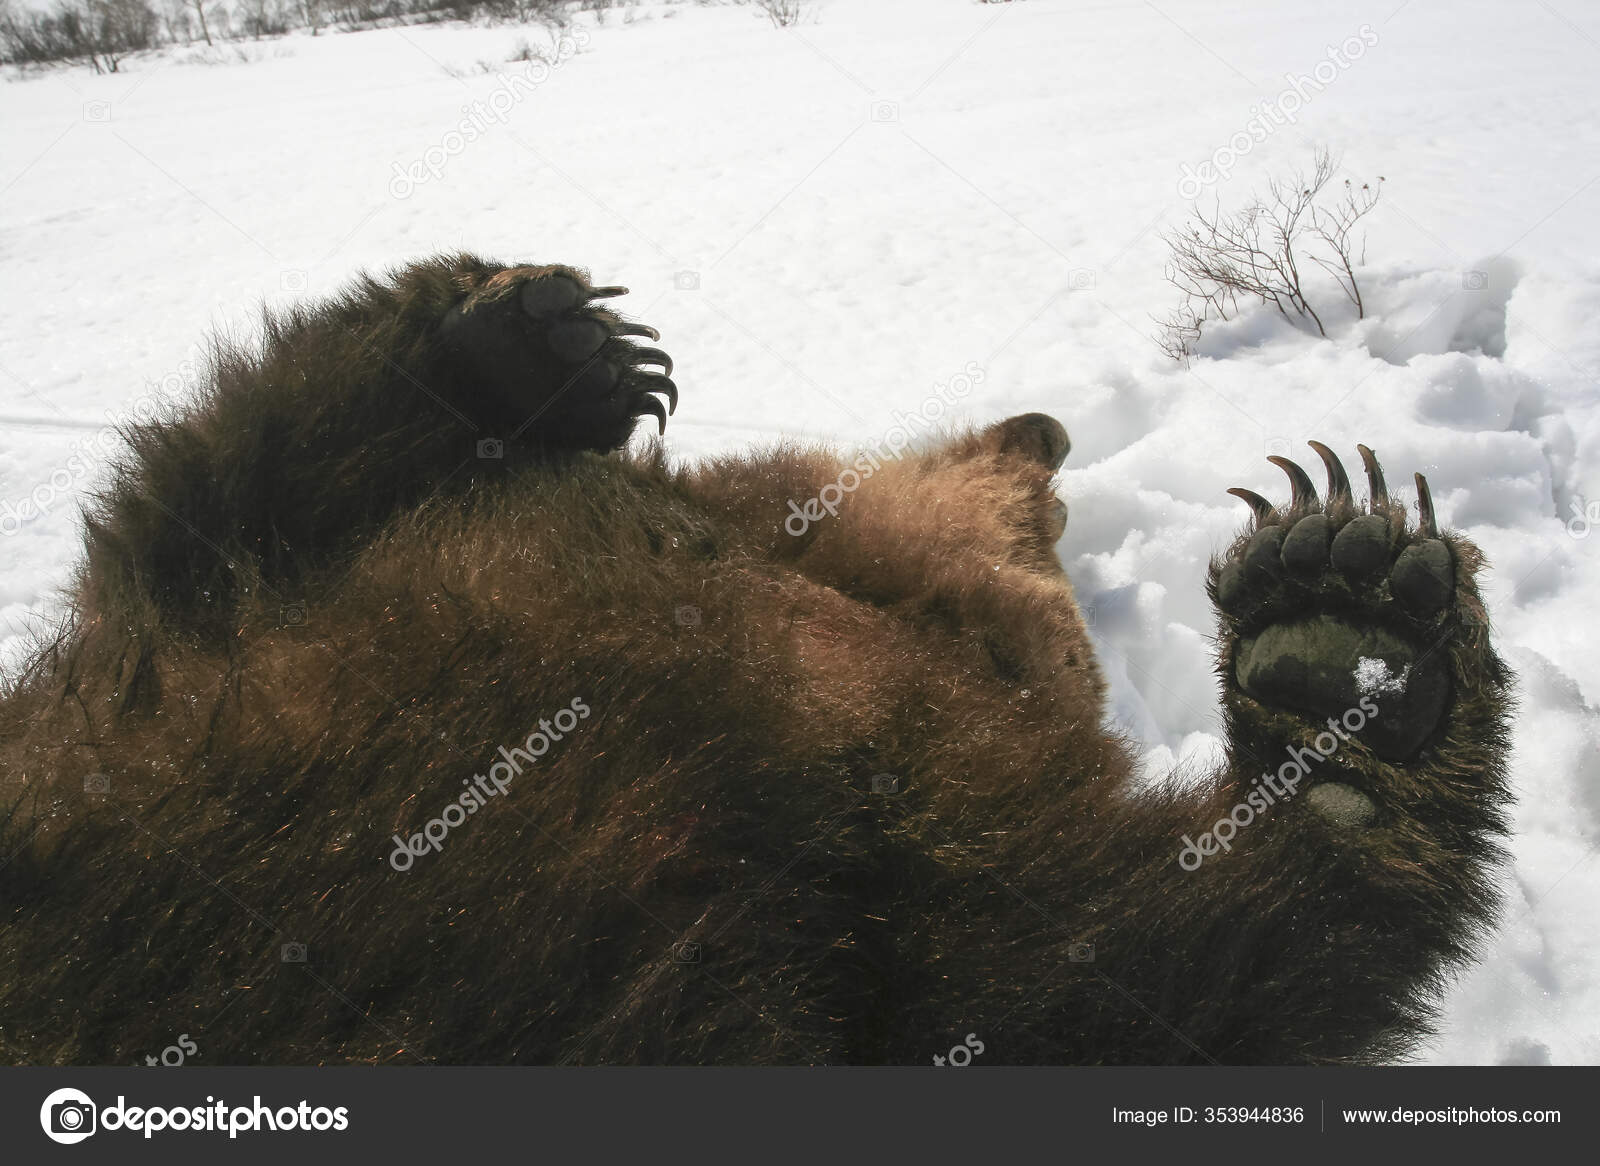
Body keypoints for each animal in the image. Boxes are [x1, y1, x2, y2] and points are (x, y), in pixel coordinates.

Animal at [0, 255, 1512, 1065]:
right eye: (1050, 513)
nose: (1044, 432)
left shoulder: (878, 854)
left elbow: (1129, 977)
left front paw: (1347, 660)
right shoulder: (223, 631)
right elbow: (215, 493)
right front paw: (544, 341)